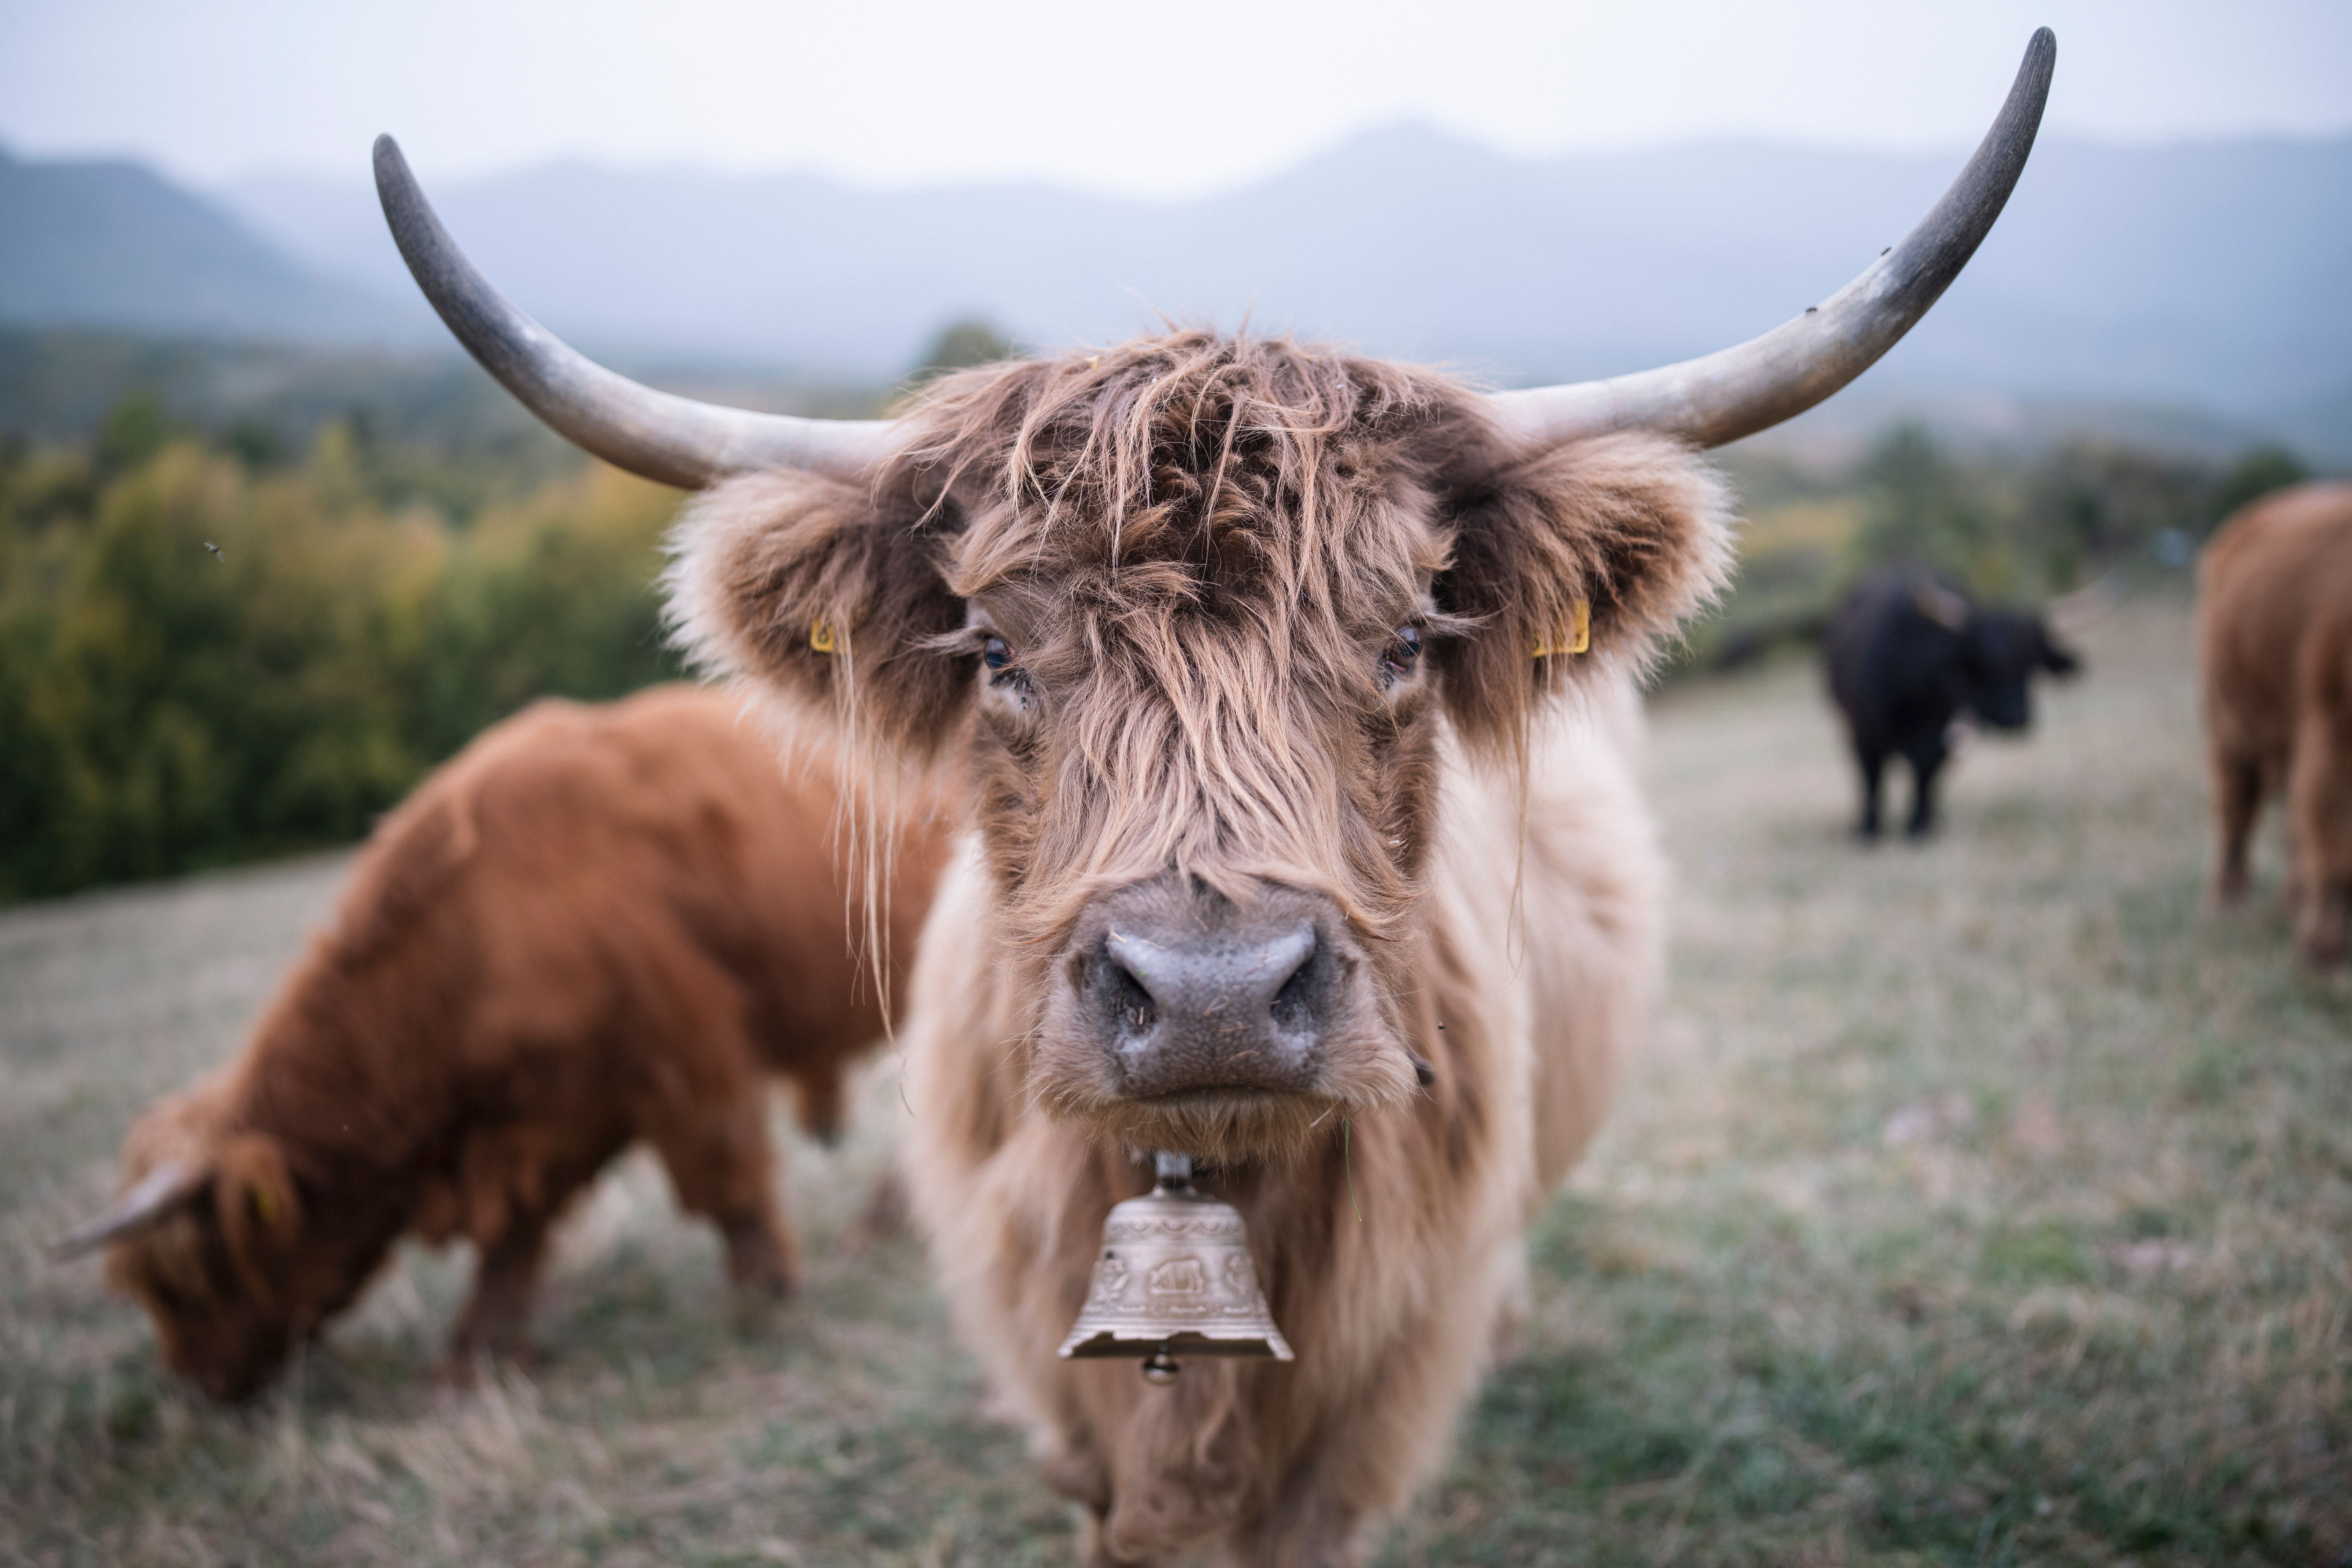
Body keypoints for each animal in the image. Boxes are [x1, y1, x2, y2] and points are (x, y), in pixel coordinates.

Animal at [52, 685, 951, 1402]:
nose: (196, 1385)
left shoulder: (684, 1048)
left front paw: (765, 1296)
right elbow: (517, 1235)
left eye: (193, 1280)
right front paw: (475, 1355)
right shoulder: (547, 1109)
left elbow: (724, 1178)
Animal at [1824, 566, 2080, 839]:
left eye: (2031, 664)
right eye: (1981, 660)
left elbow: (1926, 774)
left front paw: (1920, 825)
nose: (2014, 716)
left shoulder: (1938, 740)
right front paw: (1869, 828)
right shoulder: (1865, 732)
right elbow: (1872, 777)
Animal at [2197, 481, 2352, 964]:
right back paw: (2229, 906)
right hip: (2229, 724)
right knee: (2237, 811)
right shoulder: (2332, 729)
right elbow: (2335, 829)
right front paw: (2328, 951)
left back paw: (2292, 904)